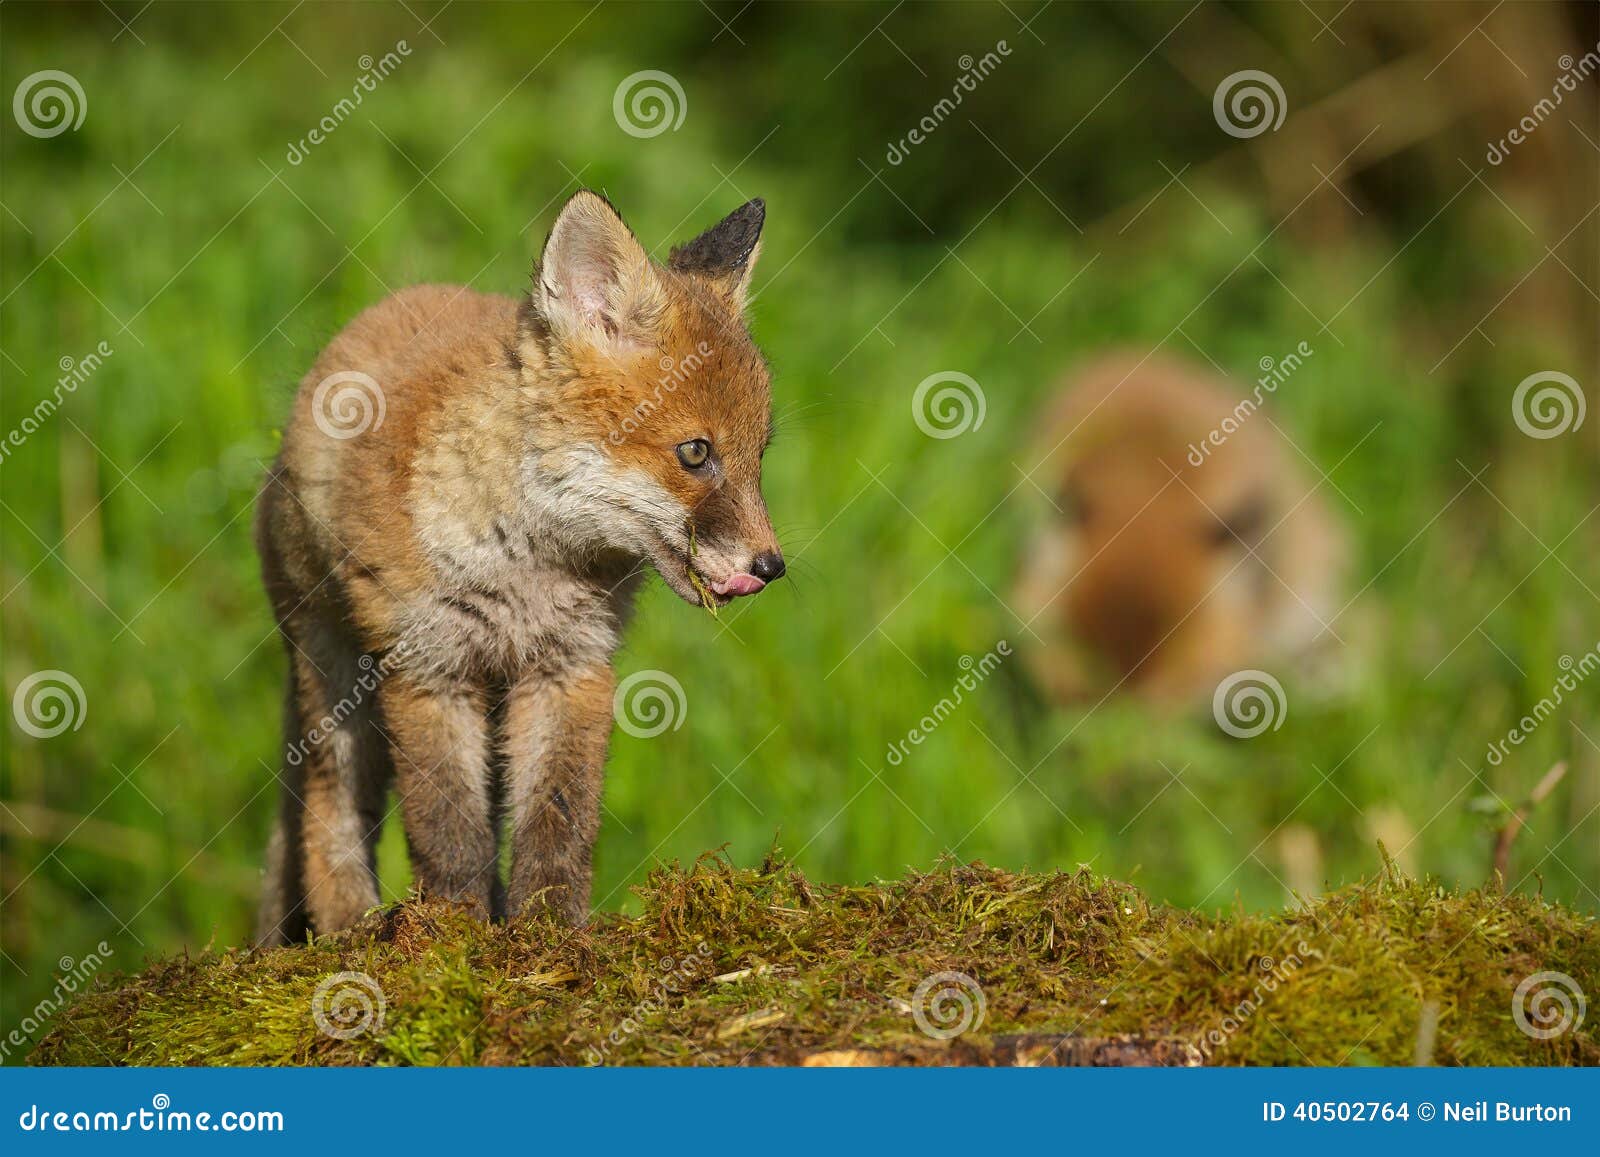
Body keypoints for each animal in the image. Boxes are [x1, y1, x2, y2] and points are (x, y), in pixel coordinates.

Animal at [253, 191, 784, 945]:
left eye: (757, 455)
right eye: (694, 453)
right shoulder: (429, 669)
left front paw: (548, 937)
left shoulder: (571, 668)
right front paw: (451, 939)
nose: (771, 565)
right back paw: (350, 929)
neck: (526, 567)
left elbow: (557, 824)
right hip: (334, 674)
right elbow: (451, 837)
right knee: (328, 811)